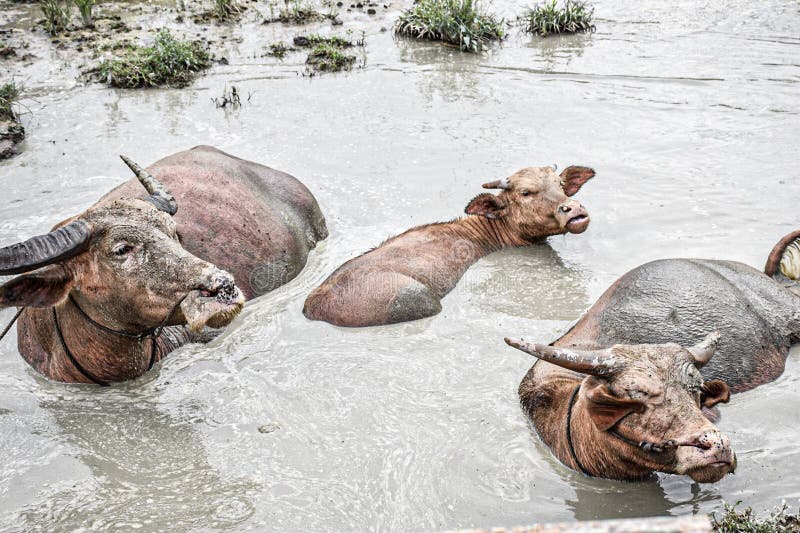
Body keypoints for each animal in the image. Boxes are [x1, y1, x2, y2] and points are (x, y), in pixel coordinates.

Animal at [303, 165, 595, 327]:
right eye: (525, 192)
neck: (489, 231)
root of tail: (311, 307)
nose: (574, 209)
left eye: (560, 184)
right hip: (419, 297)